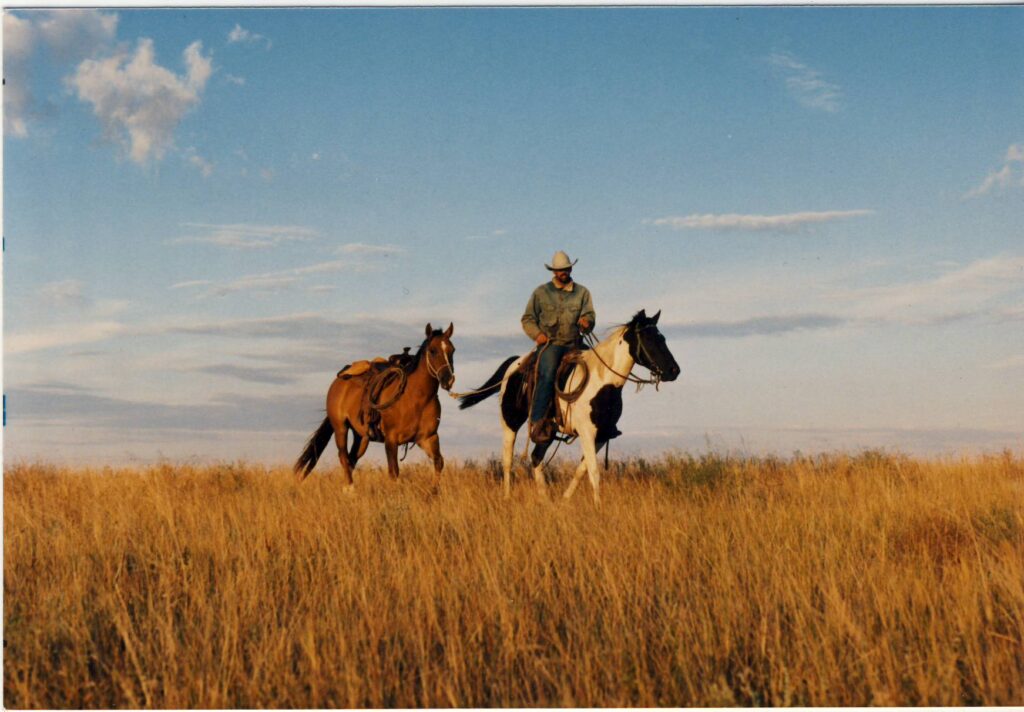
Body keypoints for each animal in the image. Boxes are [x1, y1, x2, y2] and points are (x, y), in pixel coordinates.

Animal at [294, 323, 456, 493]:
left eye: (452, 350)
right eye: (433, 350)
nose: (448, 380)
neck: (416, 399)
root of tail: (339, 382)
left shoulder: (428, 437)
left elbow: (439, 462)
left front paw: (434, 492)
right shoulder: (391, 440)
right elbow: (394, 472)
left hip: (361, 437)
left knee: (351, 459)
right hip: (340, 428)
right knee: (343, 457)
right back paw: (350, 490)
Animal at [458, 310, 679, 504]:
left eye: (663, 338)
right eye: (650, 339)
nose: (674, 370)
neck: (603, 381)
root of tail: (516, 363)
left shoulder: (602, 434)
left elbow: (582, 470)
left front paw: (564, 500)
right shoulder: (587, 432)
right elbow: (594, 472)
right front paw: (598, 507)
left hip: (546, 432)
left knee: (536, 458)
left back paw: (544, 499)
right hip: (510, 422)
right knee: (508, 460)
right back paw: (507, 497)